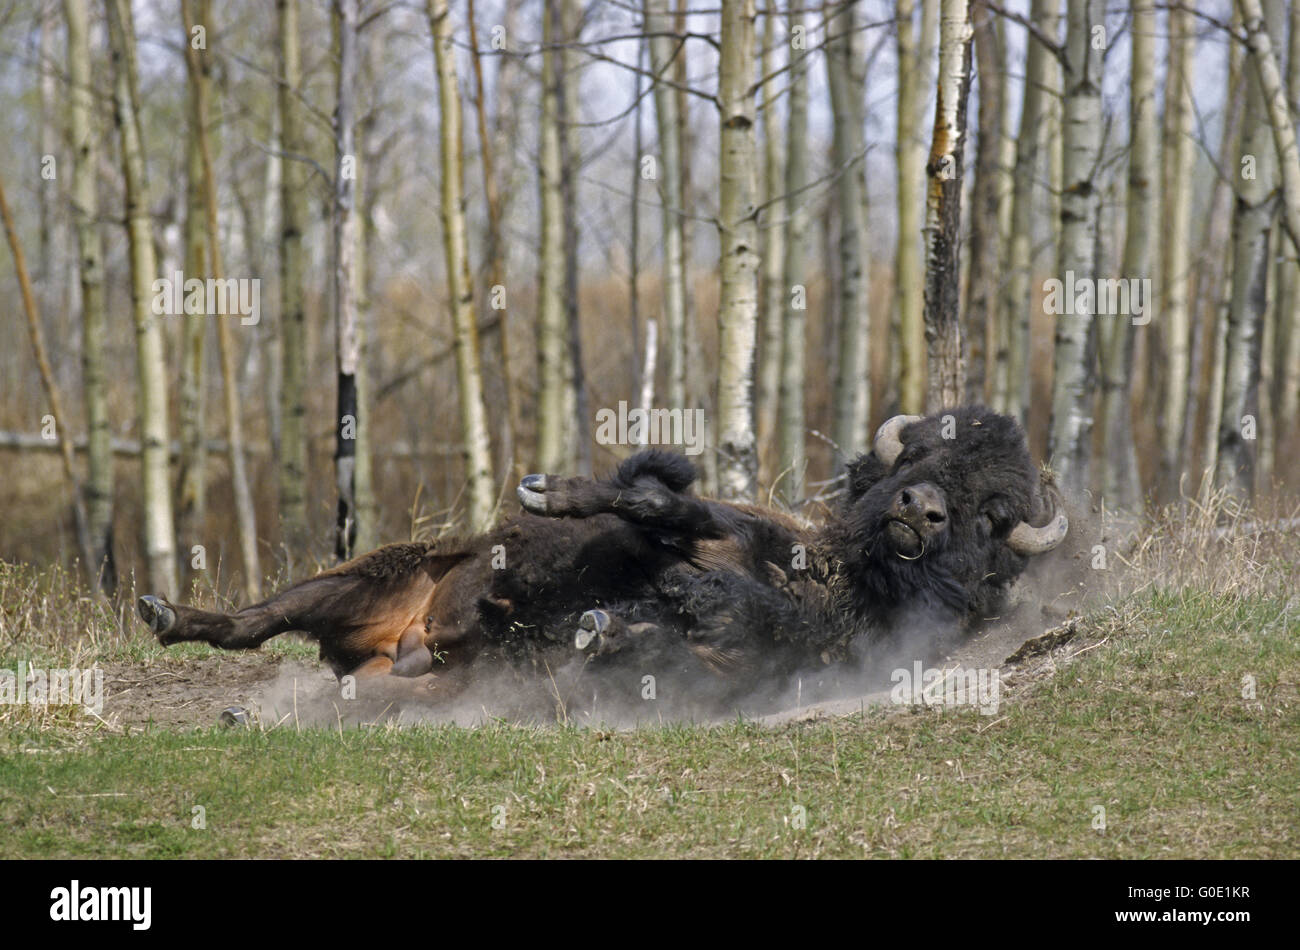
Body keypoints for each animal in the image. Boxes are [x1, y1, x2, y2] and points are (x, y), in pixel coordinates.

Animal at [134, 405, 1066, 712]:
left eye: (992, 516)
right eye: (922, 457)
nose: (921, 511)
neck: (838, 581)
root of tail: (404, 647)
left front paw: (606, 628)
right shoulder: (725, 531)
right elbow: (666, 504)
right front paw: (548, 494)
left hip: (424, 680)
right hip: (372, 578)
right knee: (258, 621)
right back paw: (166, 613)